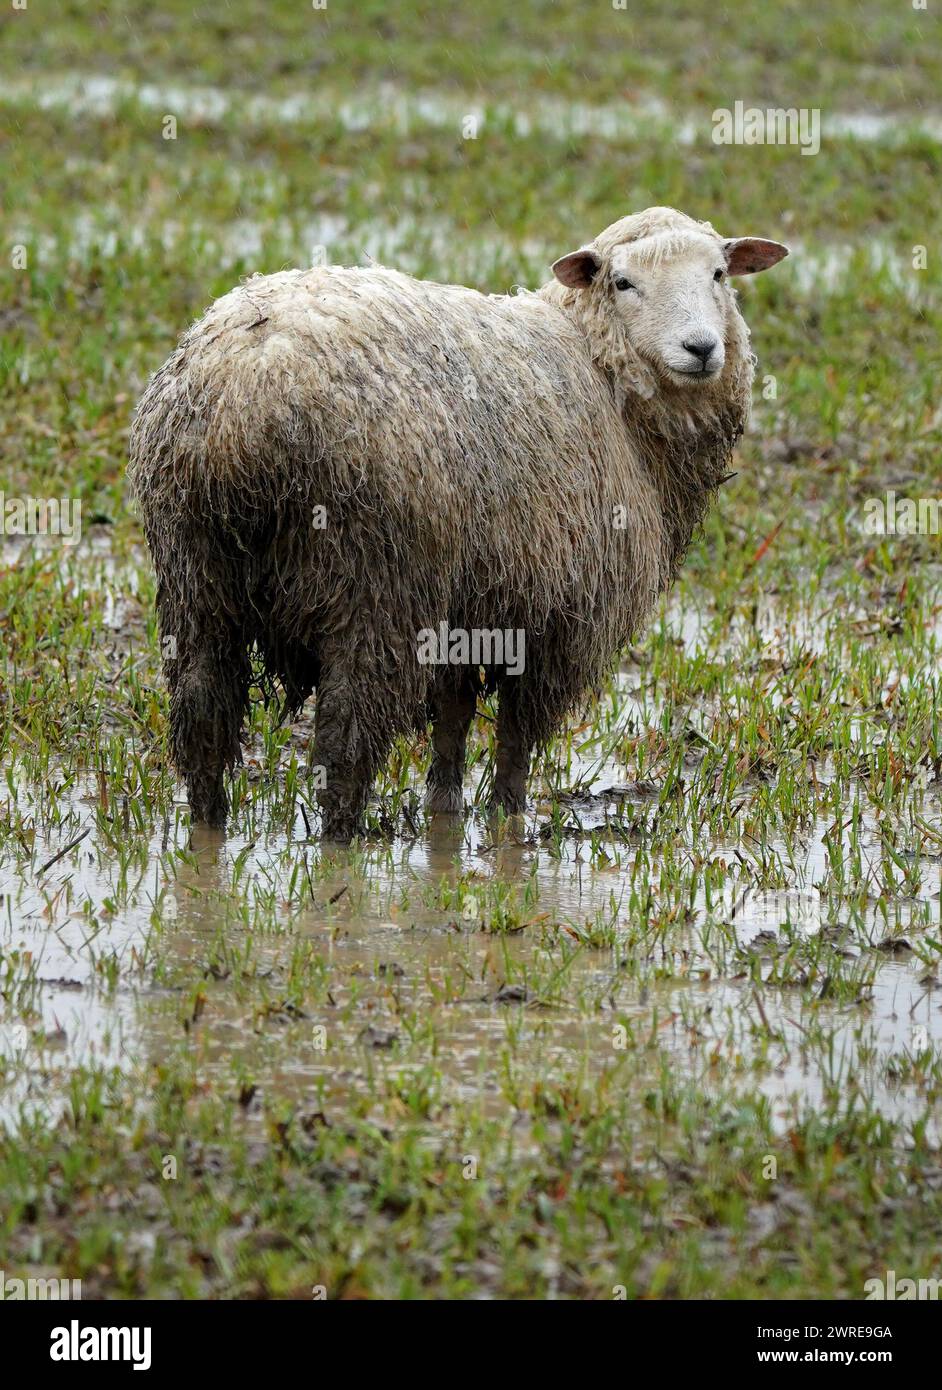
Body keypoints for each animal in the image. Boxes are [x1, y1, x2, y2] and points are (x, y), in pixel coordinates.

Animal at [128, 205, 788, 839]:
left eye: (719, 274)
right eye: (623, 282)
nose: (701, 348)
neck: (599, 370)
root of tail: (246, 400)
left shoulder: (473, 602)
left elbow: (451, 719)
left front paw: (445, 811)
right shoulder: (559, 614)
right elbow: (518, 733)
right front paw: (507, 818)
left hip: (195, 571)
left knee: (202, 715)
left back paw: (208, 824)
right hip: (375, 584)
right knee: (345, 739)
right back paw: (340, 837)